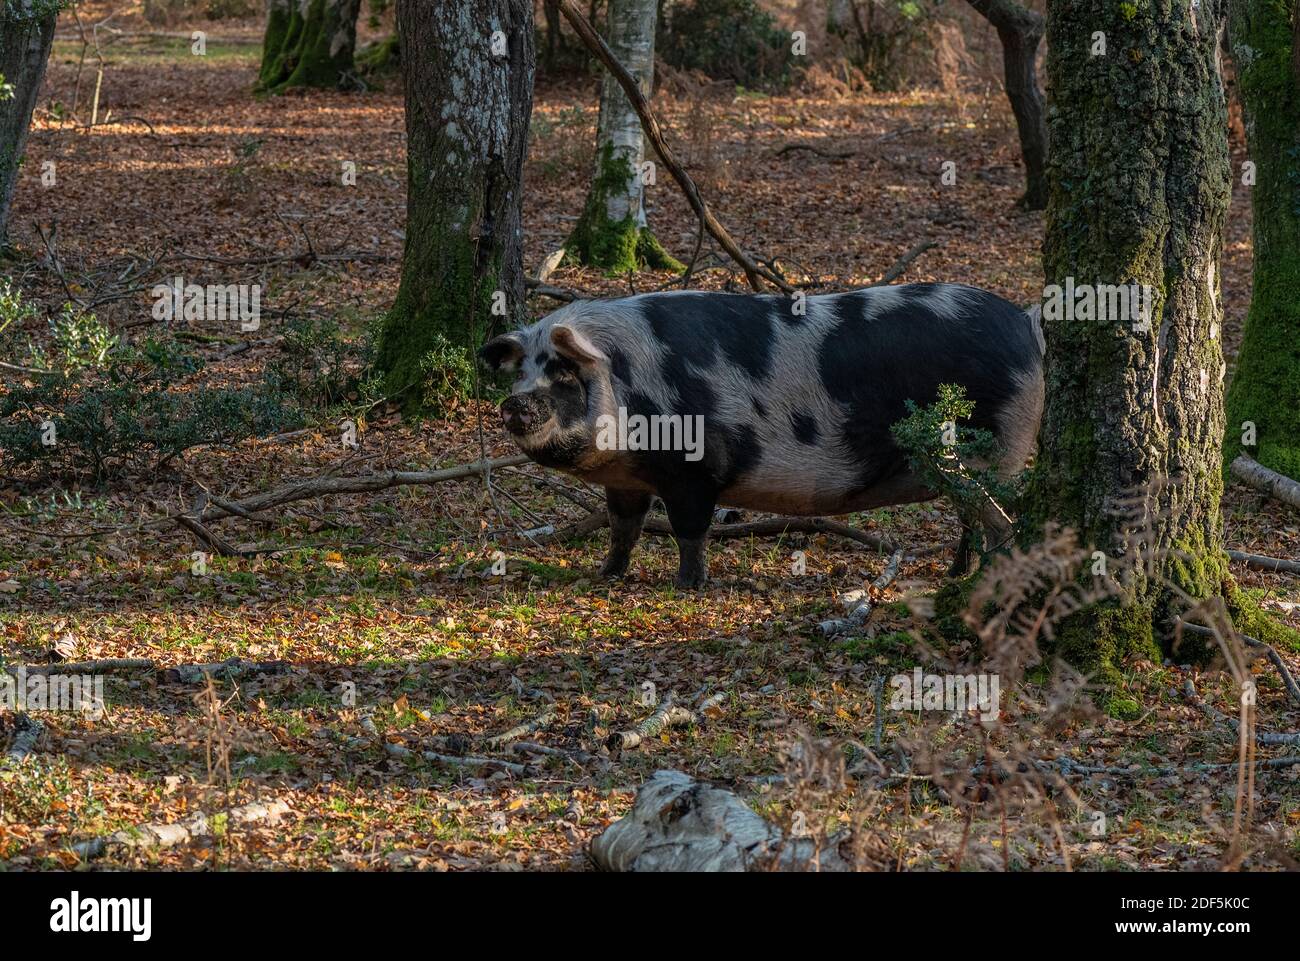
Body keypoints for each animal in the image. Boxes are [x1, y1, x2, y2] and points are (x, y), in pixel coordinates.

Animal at [479, 284, 1044, 588]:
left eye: (562, 371)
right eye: (521, 372)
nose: (514, 403)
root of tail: (1025, 325)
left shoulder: (694, 468)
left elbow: (690, 529)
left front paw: (688, 584)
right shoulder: (626, 480)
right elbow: (624, 528)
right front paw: (607, 574)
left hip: (989, 454)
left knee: (997, 517)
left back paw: (983, 576)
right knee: (971, 518)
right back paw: (954, 574)